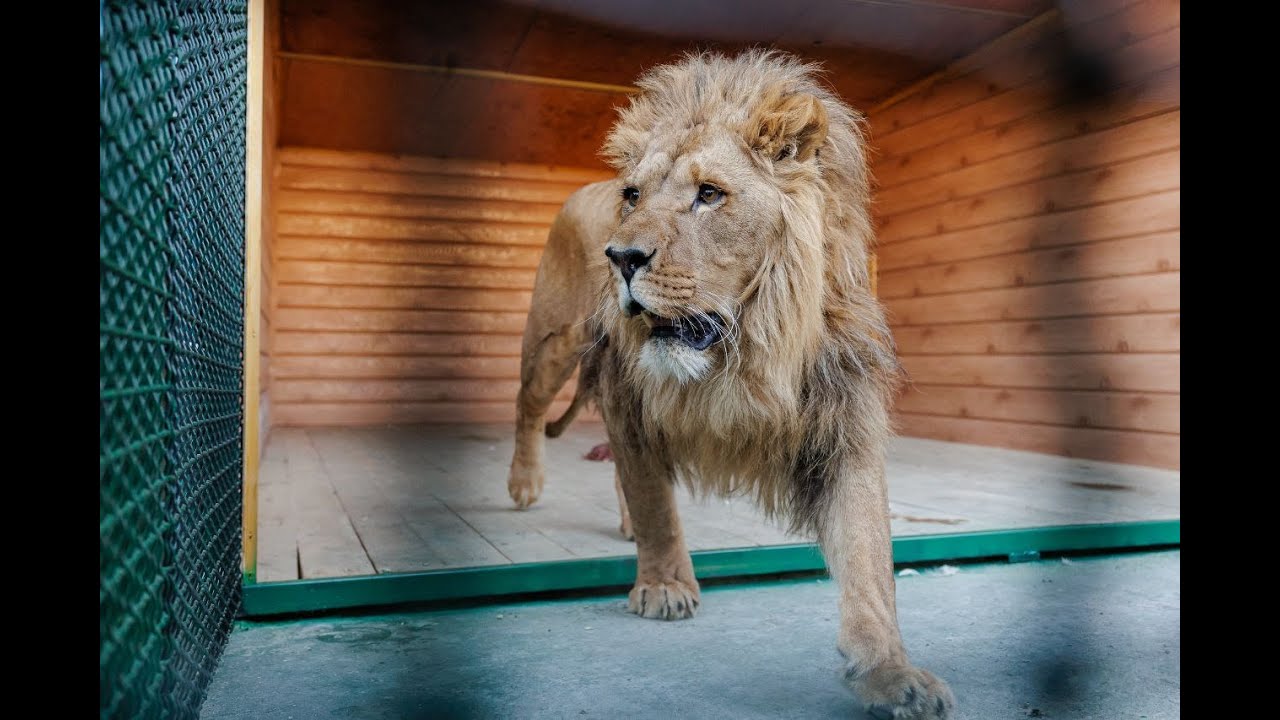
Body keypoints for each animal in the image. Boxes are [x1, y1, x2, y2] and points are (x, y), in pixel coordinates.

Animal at [506, 50, 955, 719]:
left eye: (710, 194)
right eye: (633, 195)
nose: (620, 257)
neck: (742, 353)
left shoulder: (842, 418)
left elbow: (869, 556)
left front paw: (890, 672)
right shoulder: (625, 393)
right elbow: (654, 499)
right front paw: (664, 584)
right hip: (555, 338)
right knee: (530, 406)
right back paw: (525, 483)